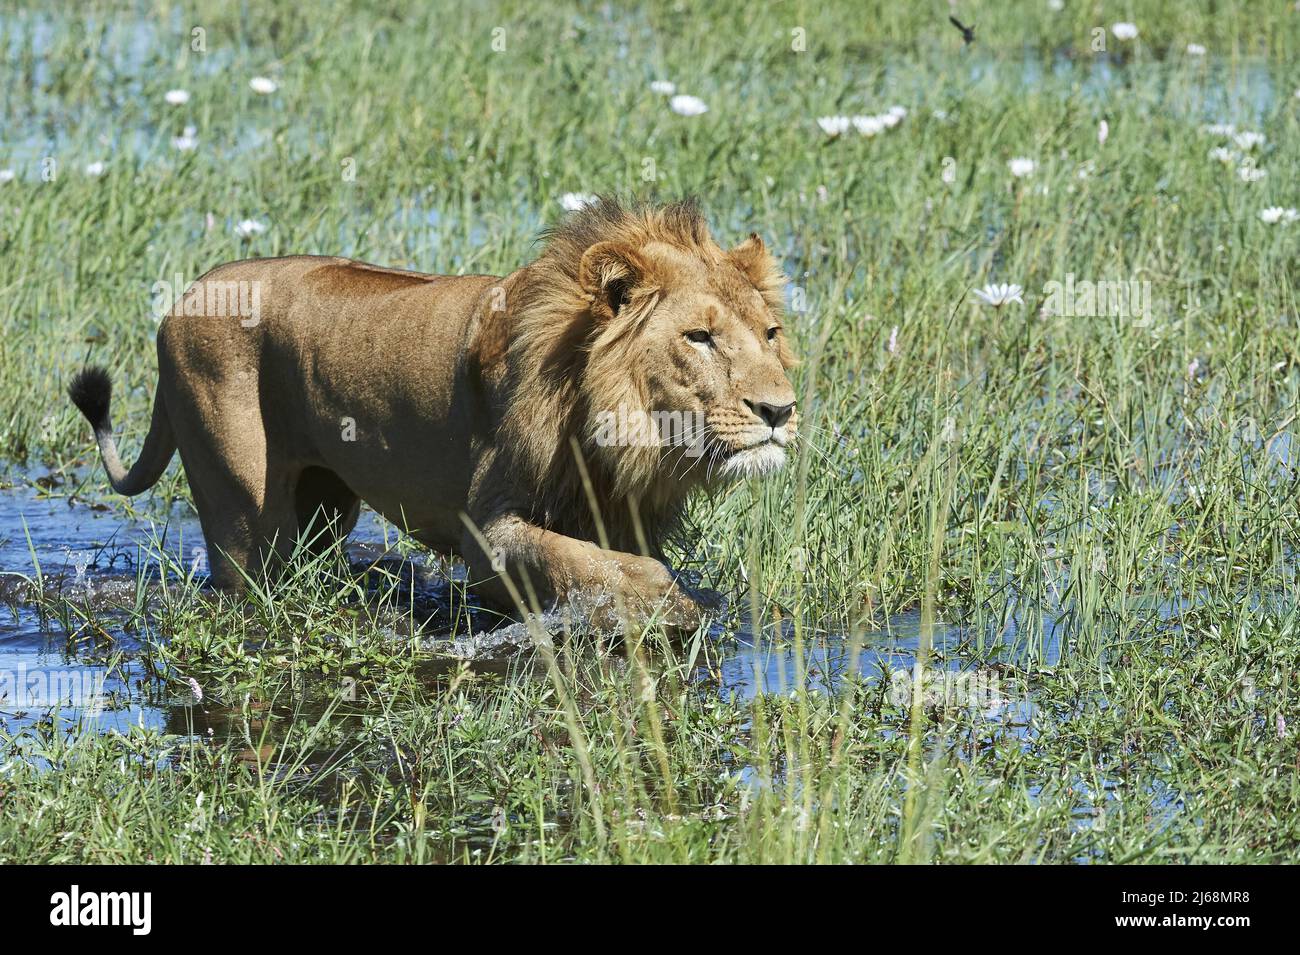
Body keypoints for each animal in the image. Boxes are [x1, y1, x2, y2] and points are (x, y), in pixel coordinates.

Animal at [68, 198, 798, 626]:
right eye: (698, 337)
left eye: (768, 334)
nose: (780, 409)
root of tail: (184, 298)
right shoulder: (489, 527)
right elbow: (599, 564)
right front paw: (674, 606)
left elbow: (597, 559)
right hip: (244, 509)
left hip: (324, 503)